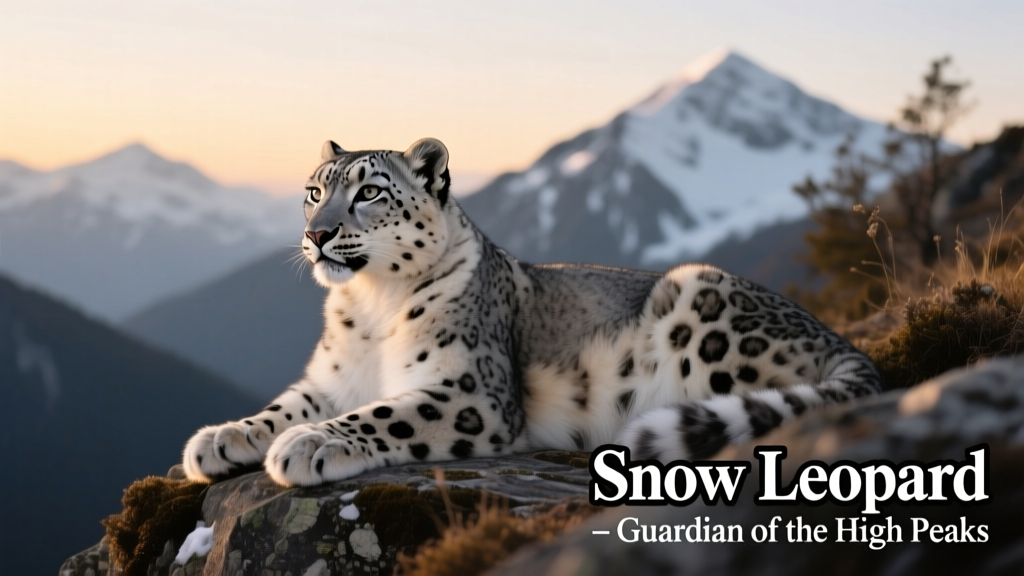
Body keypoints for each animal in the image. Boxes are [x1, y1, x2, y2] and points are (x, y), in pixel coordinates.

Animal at [182, 138, 882, 487]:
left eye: (370, 192)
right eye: (313, 192)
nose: (318, 234)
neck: (370, 307)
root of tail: (842, 341)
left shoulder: (472, 392)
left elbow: (382, 415)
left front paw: (308, 445)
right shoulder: (329, 379)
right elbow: (285, 405)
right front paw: (221, 438)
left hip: (697, 301)